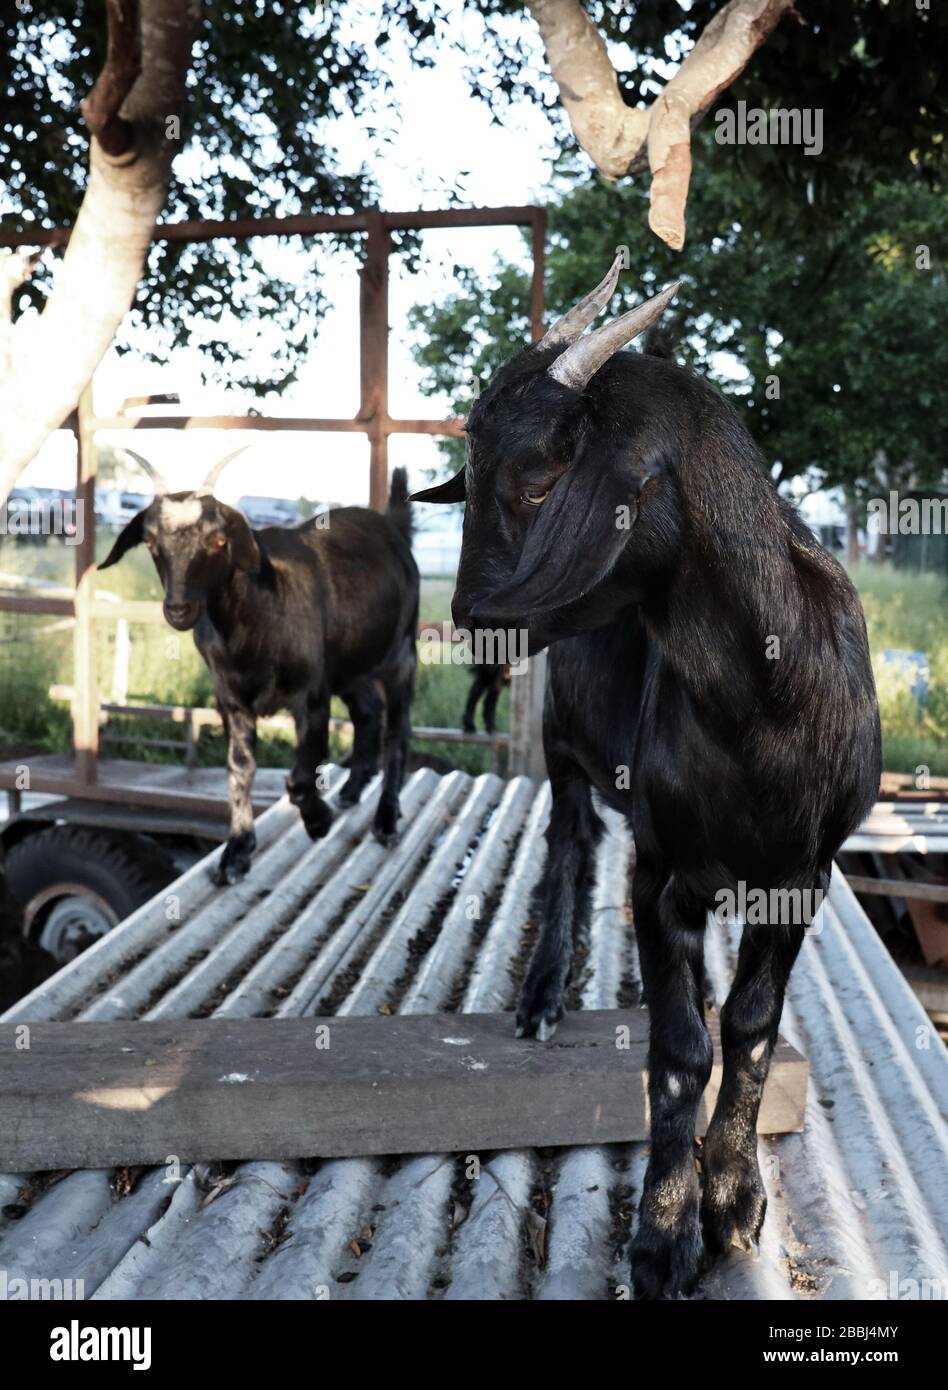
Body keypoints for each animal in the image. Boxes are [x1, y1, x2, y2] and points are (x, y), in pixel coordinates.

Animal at [101, 452, 418, 884]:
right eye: (150, 542)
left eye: (219, 541)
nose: (180, 609)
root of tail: (393, 525)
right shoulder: (230, 698)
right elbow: (239, 769)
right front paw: (237, 851)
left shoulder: (311, 695)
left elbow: (300, 777)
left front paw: (318, 822)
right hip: (351, 666)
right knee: (369, 711)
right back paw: (352, 790)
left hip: (401, 653)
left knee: (398, 732)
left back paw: (386, 819)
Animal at [413, 256, 881, 1299]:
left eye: (540, 479)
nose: (470, 616)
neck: (762, 706)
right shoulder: (661, 866)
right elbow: (677, 1051)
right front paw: (665, 1233)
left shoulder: (804, 873)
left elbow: (748, 1029)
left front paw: (734, 1195)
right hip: (563, 748)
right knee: (568, 846)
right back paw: (543, 994)